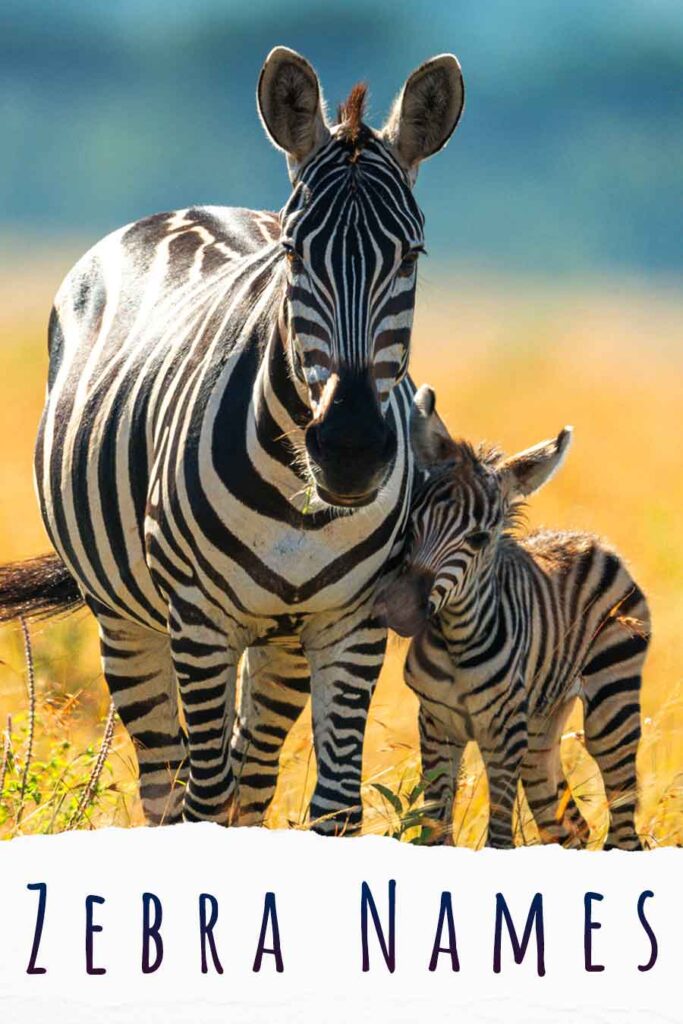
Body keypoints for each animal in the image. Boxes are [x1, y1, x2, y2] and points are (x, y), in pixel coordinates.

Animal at [0, 49, 465, 834]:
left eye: (412, 255)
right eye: (293, 252)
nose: (349, 450)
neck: (301, 506)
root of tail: (188, 208)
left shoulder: (353, 622)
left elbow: (335, 808)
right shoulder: (199, 617)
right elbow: (202, 800)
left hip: (280, 642)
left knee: (250, 779)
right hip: (125, 621)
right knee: (169, 785)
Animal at [376, 386, 650, 849]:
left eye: (479, 538)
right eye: (412, 521)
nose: (395, 609)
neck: (457, 641)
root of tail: (592, 541)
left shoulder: (504, 735)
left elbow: (501, 837)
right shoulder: (435, 724)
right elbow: (434, 829)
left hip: (610, 703)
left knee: (624, 827)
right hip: (542, 727)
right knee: (571, 827)